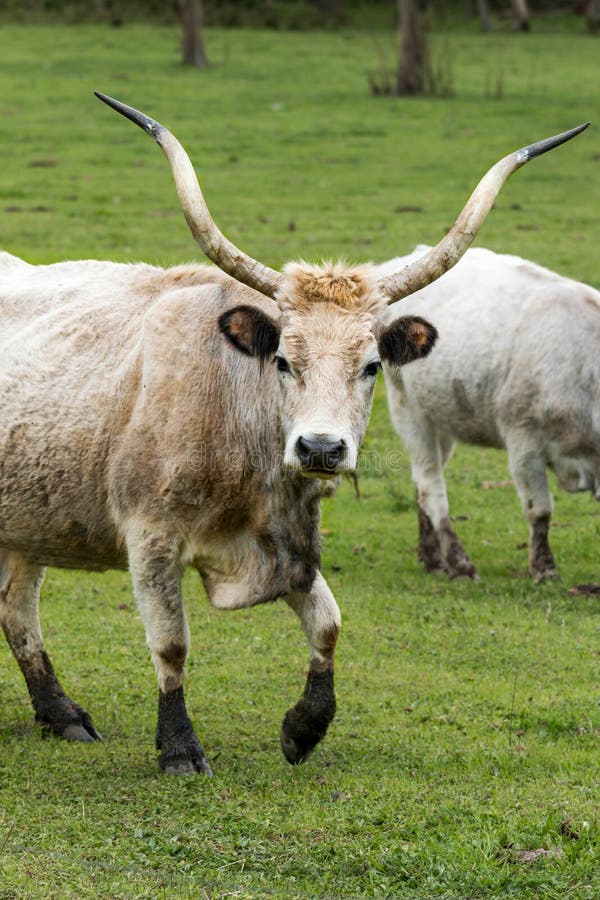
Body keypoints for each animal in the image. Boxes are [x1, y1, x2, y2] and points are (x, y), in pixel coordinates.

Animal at [380, 245, 600, 582]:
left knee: (420, 482)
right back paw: (458, 563)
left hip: (441, 415)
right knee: (431, 485)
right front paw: (544, 569)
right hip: (409, 410)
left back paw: (431, 556)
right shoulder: (523, 442)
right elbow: (539, 509)